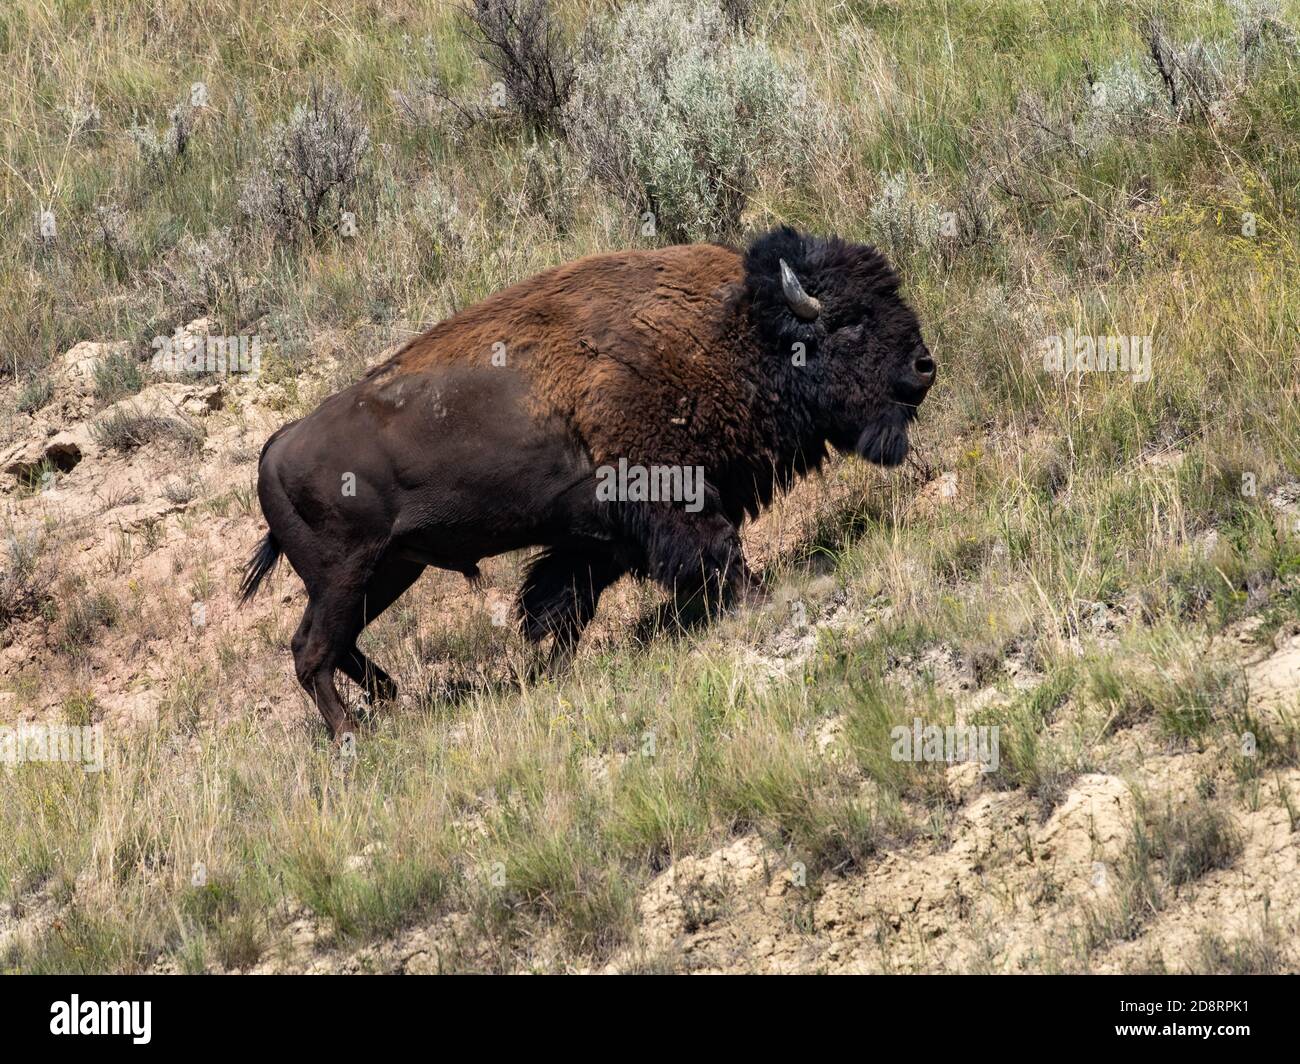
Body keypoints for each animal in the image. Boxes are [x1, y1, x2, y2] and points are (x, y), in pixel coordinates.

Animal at [240, 225, 936, 738]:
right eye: (849, 321)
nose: (924, 367)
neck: (732, 330)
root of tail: (275, 447)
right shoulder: (666, 495)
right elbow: (714, 548)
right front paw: (760, 597)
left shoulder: (596, 538)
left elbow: (564, 597)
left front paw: (553, 660)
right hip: (349, 572)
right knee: (313, 651)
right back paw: (352, 733)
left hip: (389, 568)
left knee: (330, 643)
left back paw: (389, 699)